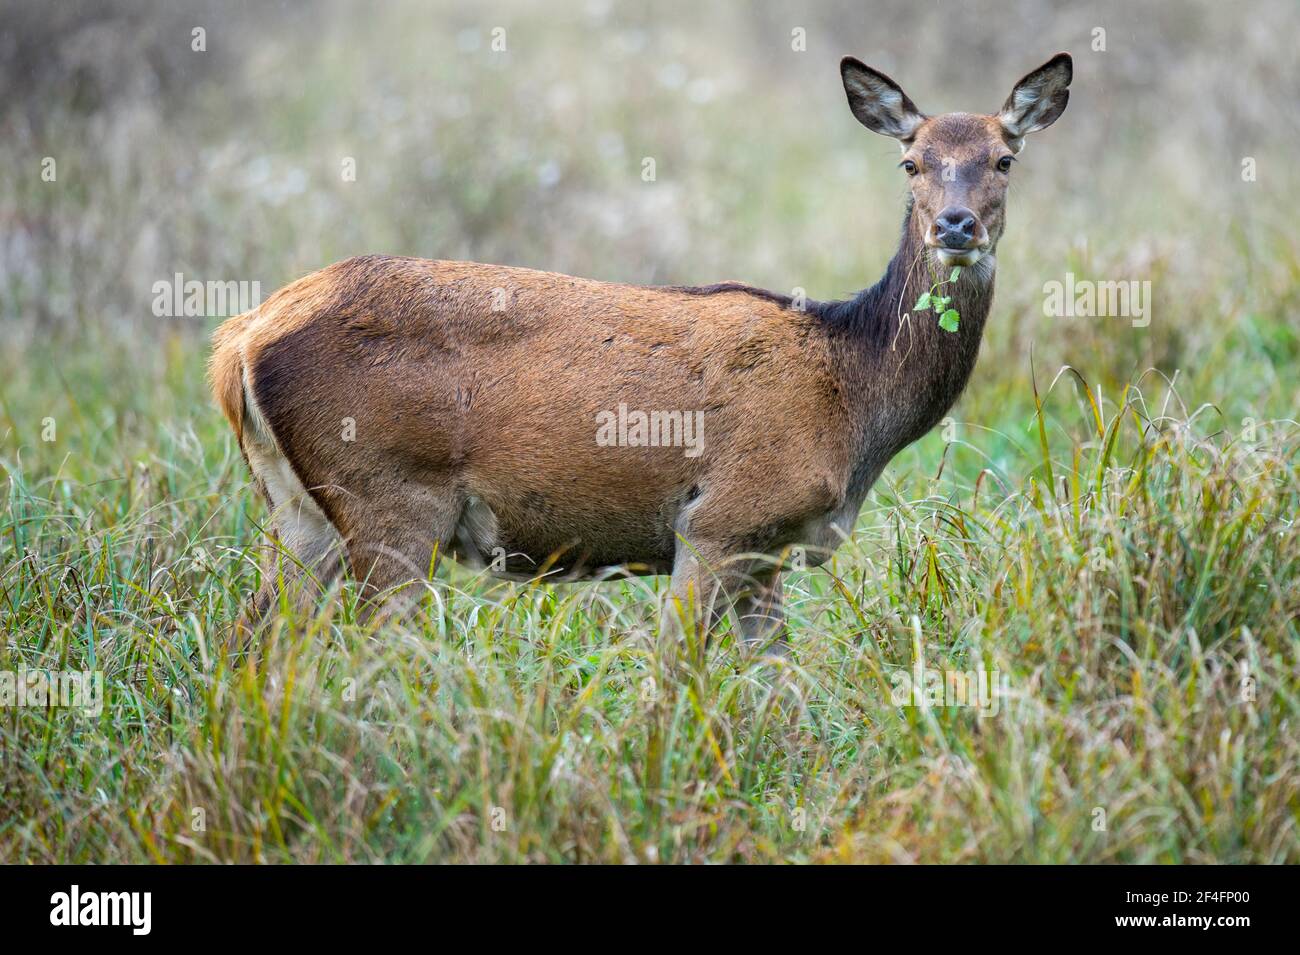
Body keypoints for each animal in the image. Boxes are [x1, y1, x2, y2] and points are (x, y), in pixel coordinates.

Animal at [210, 53, 1072, 650]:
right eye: (910, 161)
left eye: (1004, 158)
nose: (955, 224)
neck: (852, 394)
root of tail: (240, 339)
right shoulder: (722, 519)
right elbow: (674, 669)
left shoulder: (772, 550)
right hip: (391, 495)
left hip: (297, 508)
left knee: (252, 637)